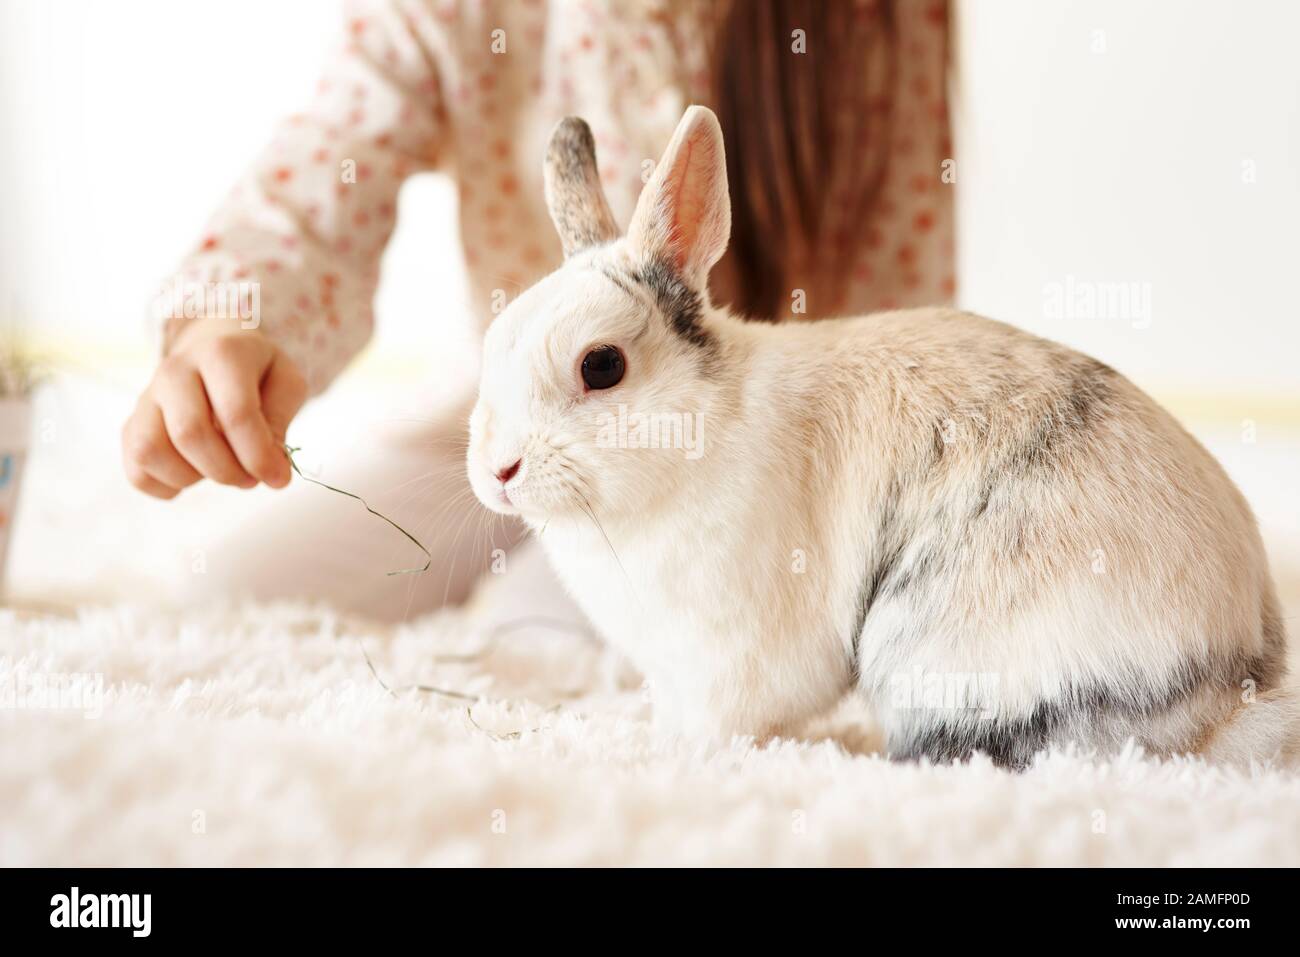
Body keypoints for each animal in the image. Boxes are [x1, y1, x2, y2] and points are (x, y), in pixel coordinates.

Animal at [466, 105, 1296, 769]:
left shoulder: (726, 661)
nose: (497, 472)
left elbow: (720, 721)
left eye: (602, 365)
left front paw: (672, 752)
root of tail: (1232, 692)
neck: (700, 429)